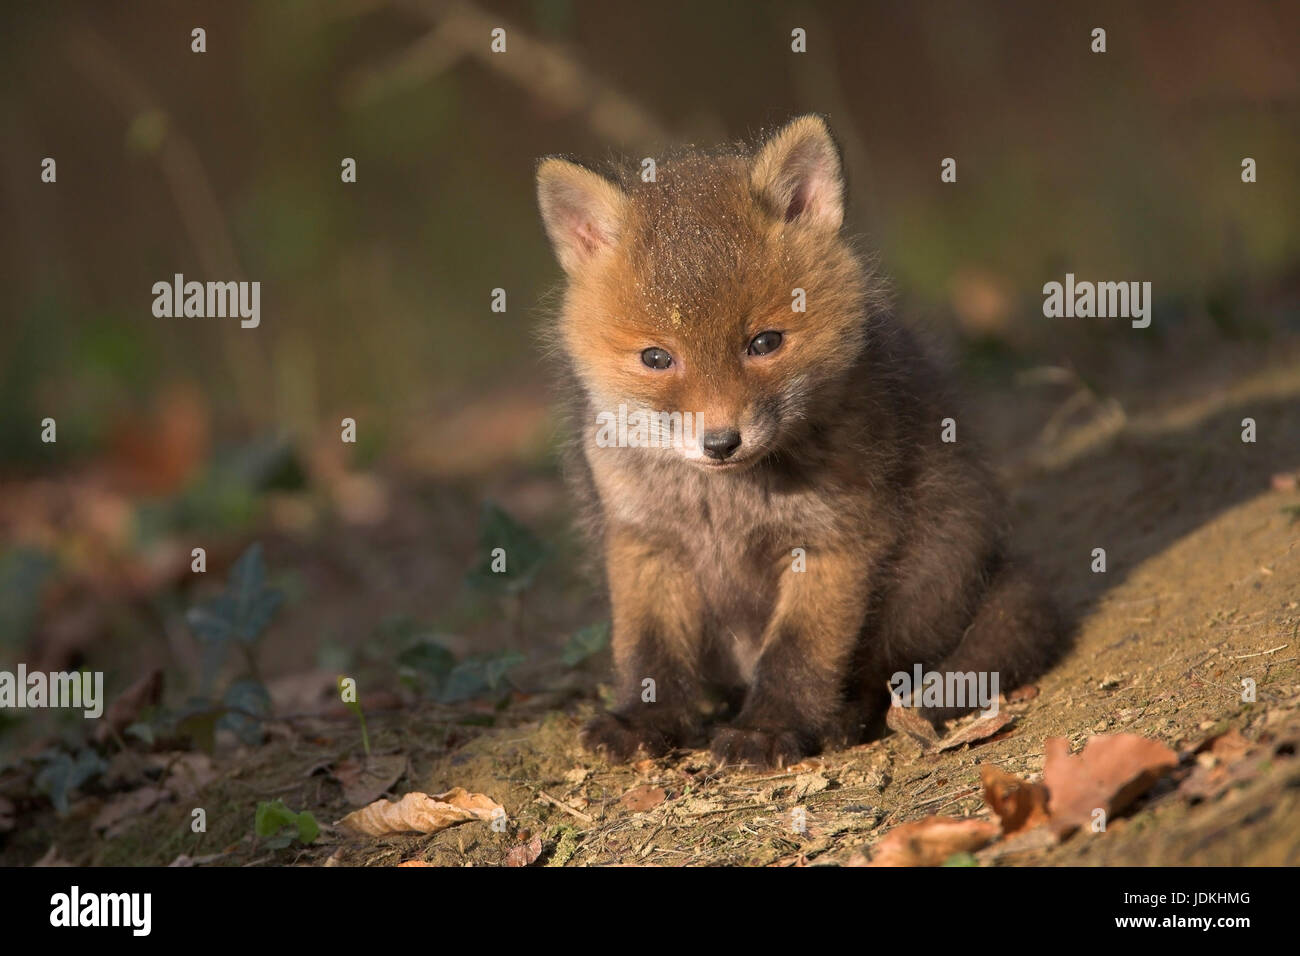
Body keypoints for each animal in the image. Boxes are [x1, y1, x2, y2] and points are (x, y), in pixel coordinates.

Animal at [535, 115, 1064, 768]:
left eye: (764, 343)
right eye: (656, 358)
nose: (720, 442)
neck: (726, 504)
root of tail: (995, 563)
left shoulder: (833, 542)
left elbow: (798, 655)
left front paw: (768, 728)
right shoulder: (646, 542)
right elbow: (650, 653)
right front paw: (645, 721)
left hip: (926, 580)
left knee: (885, 672)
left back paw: (845, 719)